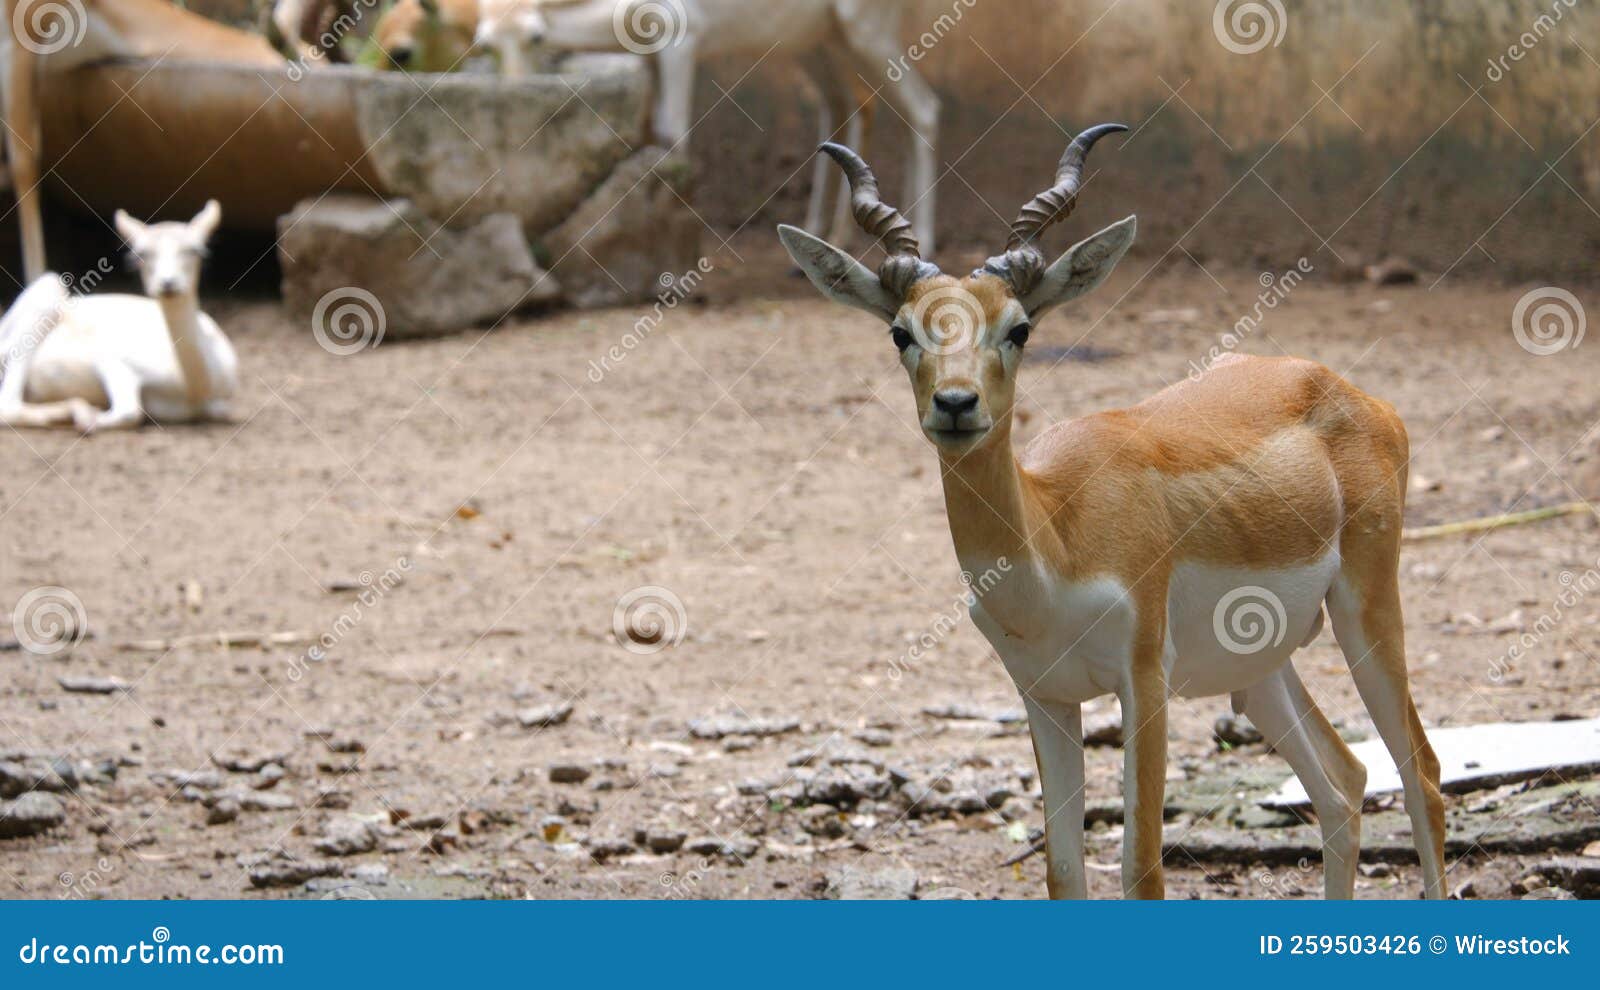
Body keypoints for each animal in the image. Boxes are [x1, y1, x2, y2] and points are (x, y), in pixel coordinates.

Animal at [0, 202, 238, 433]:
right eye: (142, 254)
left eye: (195, 250)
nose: (168, 283)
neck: (192, 386)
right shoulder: (110, 358)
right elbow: (130, 412)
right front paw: (86, 418)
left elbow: (225, 412)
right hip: (49, 287)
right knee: (8, 405)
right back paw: (75, 411)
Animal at [472, 0, 937, 252]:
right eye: (485, 42)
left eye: (535, 36)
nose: (515, 88)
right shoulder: (650, 58)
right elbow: (650, 135)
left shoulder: (681, 44)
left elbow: (673, 133)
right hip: (817, 40)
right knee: (845, 106)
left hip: (863, 31)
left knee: (923, 109)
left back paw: (922, 243)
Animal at [777, 126, 1447, 900]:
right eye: (900, 332)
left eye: (1019, 328)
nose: (955, 405)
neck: (1056, 541)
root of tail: (1353, 394)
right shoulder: (1045, 696)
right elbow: (1064, 869)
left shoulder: (1144, 680)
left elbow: (1141, 867)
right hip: (1258, 669)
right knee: (1344, 782)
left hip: (1366, 613)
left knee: (1422, 772)